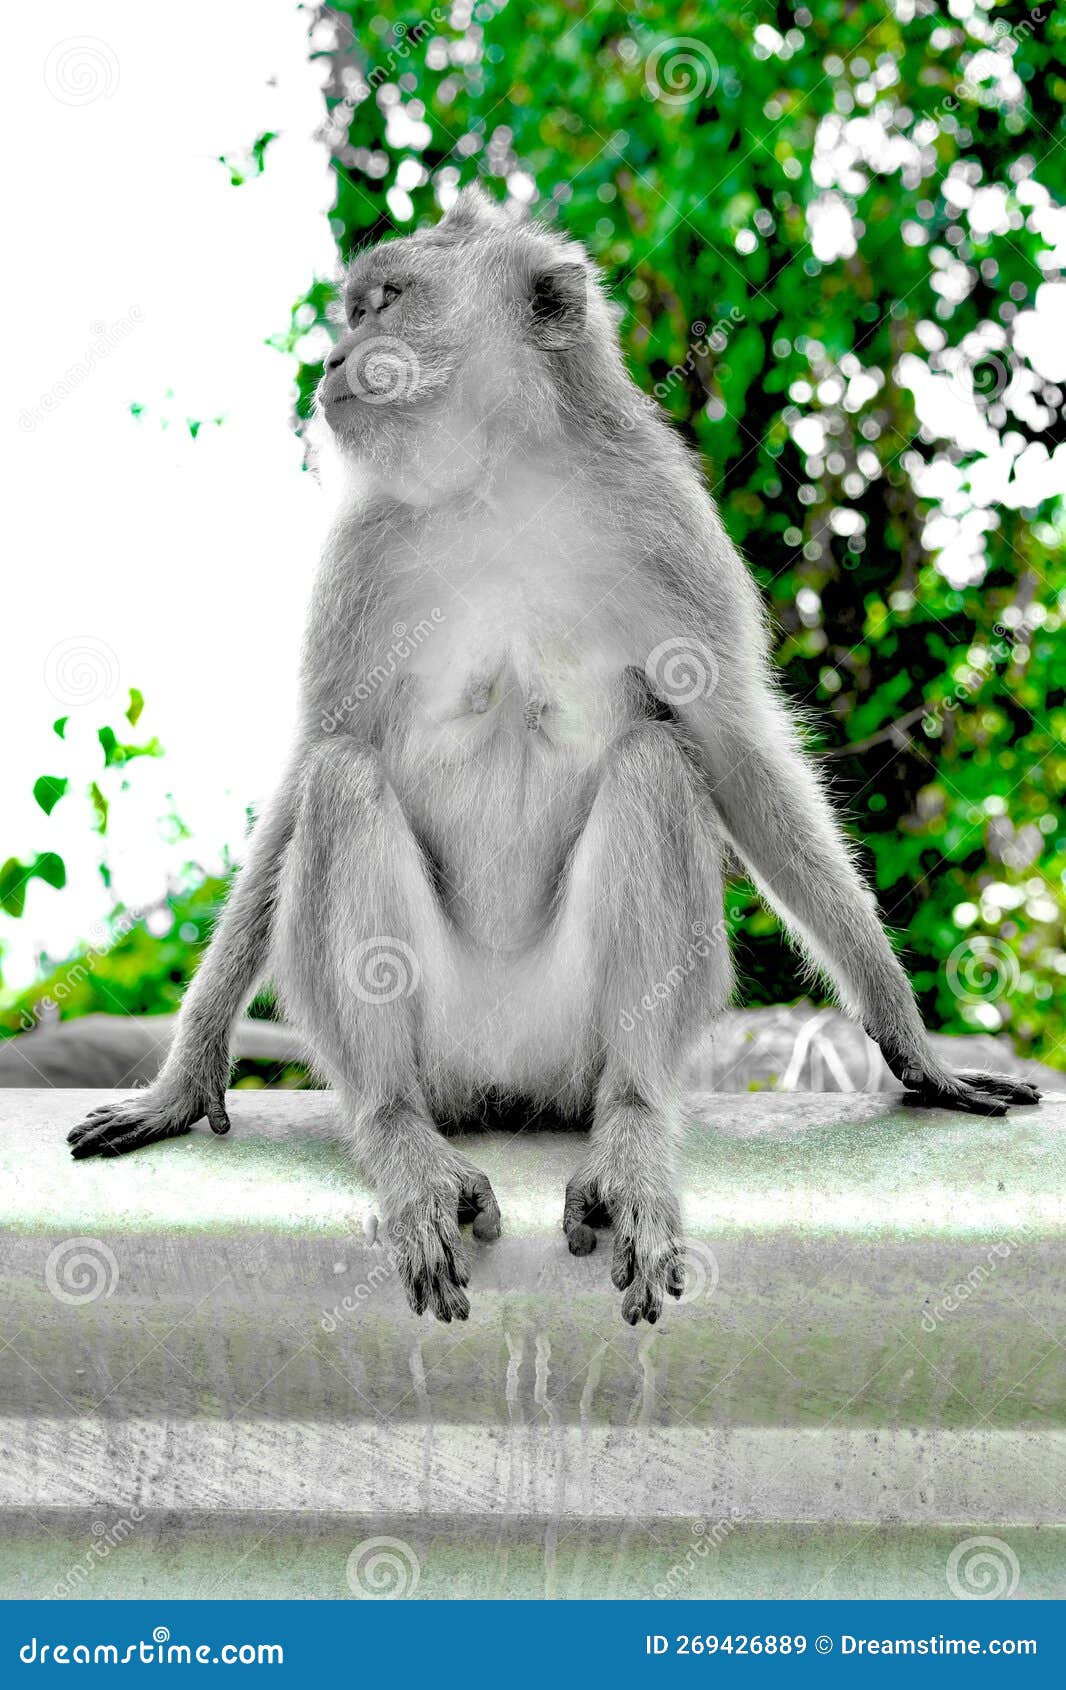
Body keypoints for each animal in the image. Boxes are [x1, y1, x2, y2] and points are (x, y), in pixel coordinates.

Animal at [68, 185, 1040, 1325]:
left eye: (386, 301)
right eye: (357, 308)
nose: (337, 355)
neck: (500, 477)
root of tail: (507, 1086)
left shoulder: (663, 517)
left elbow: (731, 741)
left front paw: (912, 1044)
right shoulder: (361, 551)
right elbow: (321, 749)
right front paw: (182, 1082)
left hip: (572, 1035)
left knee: (655, 771)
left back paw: (630, 1130)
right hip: (443, 1045)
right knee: (344, 787)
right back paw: (400, 1135)